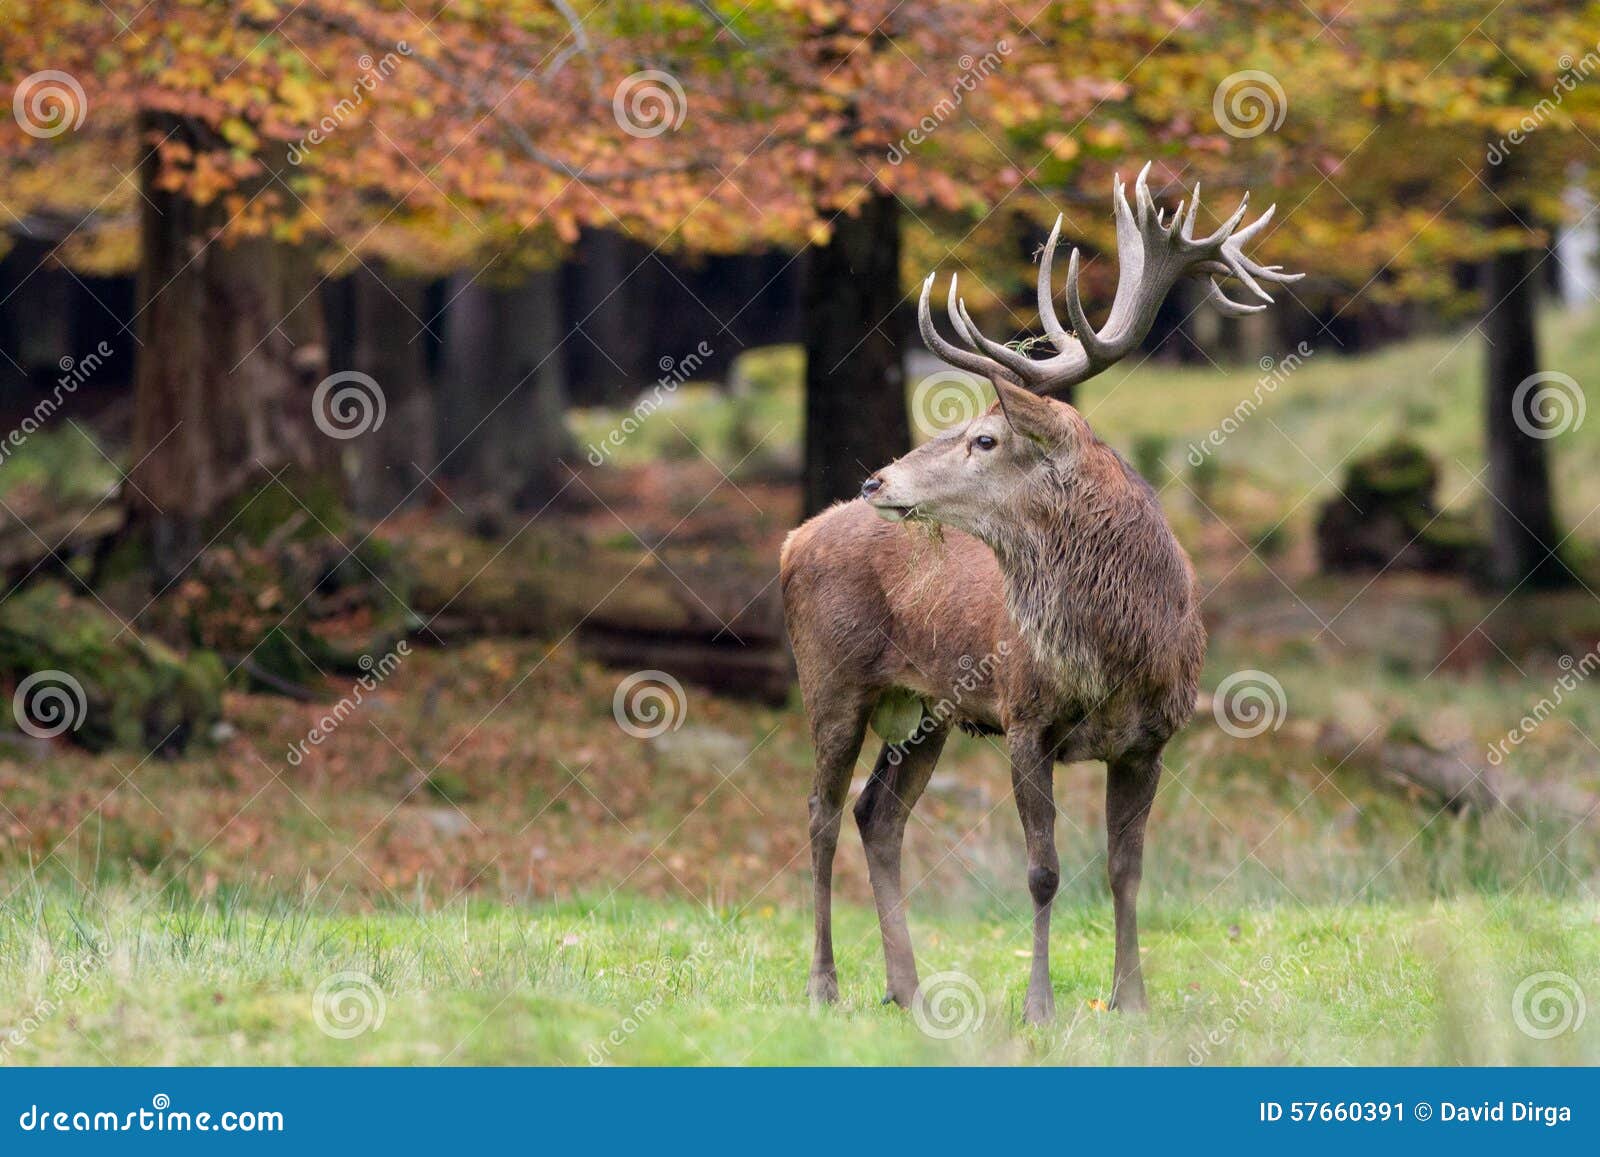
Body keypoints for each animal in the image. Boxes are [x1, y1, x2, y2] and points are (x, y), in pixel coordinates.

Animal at [780, 164, 1299, 1023]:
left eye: (985, 438)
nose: (876, 480)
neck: (1117, 653)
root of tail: (793, 539)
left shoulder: (1154, 738)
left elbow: (1126, 870)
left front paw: (1131, 999)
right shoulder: (1025, 717)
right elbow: (1044, 870)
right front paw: (1040, 1005)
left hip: (926, 708)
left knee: (876, 814)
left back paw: (906, 986)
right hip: (833, 677)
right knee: (820, 812)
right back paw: (824, 983)